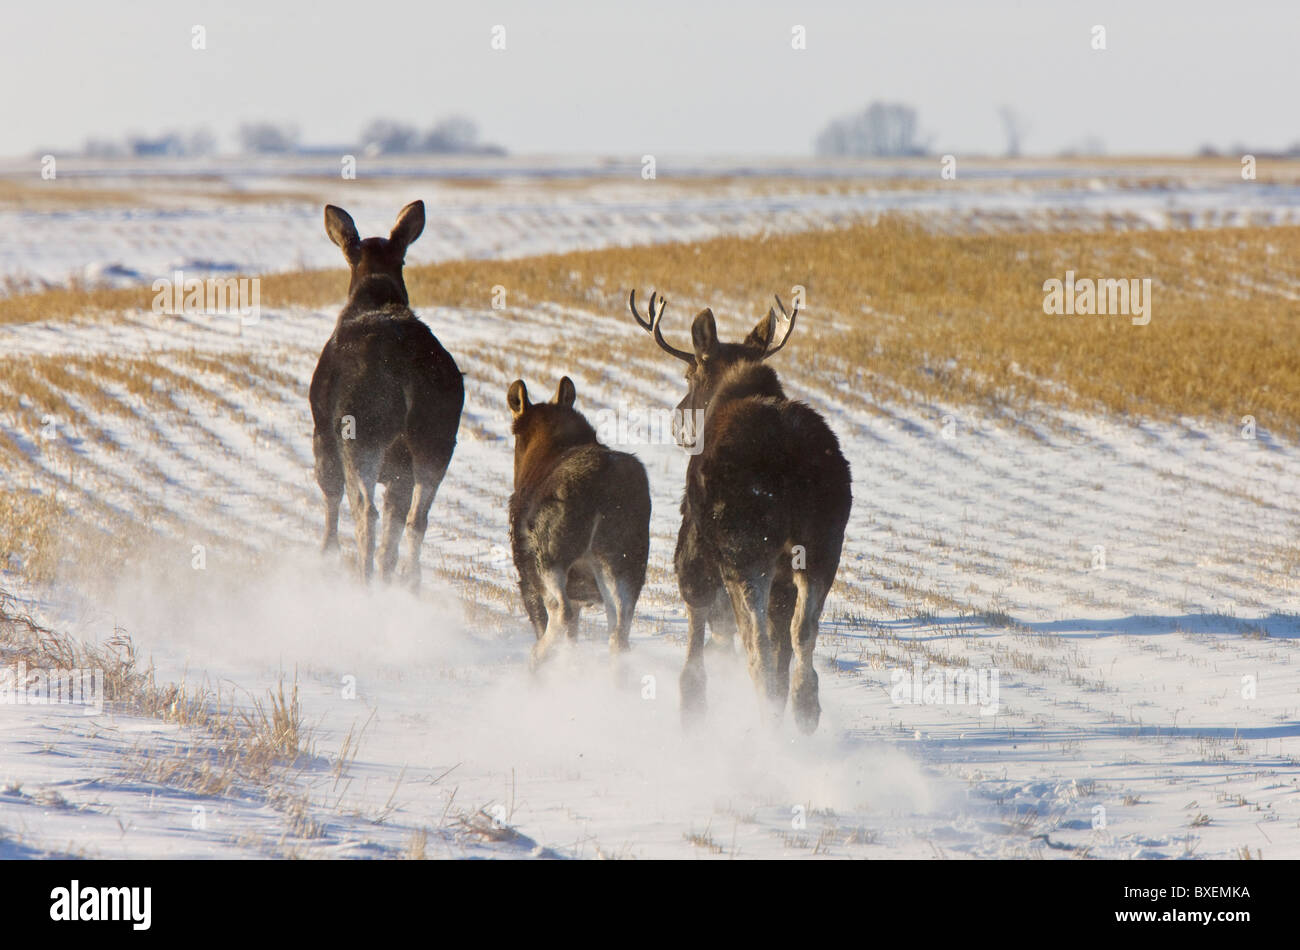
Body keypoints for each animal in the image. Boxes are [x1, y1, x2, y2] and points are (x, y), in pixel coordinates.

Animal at [310, 200, 464, 589]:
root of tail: (407, 372)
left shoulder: (322, 434)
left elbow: (330, 495)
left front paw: (325, 556)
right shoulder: (401, 471)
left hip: (360, 430)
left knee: (364, 508)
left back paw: (363, 580)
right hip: (435, 439)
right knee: (416, 518)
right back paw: (408, 582)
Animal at [507, 376, 651, 669]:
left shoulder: (526, 576)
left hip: (550, 557)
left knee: (559, 611)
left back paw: (536, 658)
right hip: (625, 565)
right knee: (620, 633)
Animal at [628, 290, 851, 734]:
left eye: (689, 375)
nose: (677, 421)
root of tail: (791, 462)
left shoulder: (694, 545)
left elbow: (699, 620)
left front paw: (692, 706)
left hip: (746, 550)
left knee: (757, 642)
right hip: (821, 548)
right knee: (802, 630)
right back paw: (803, 710)